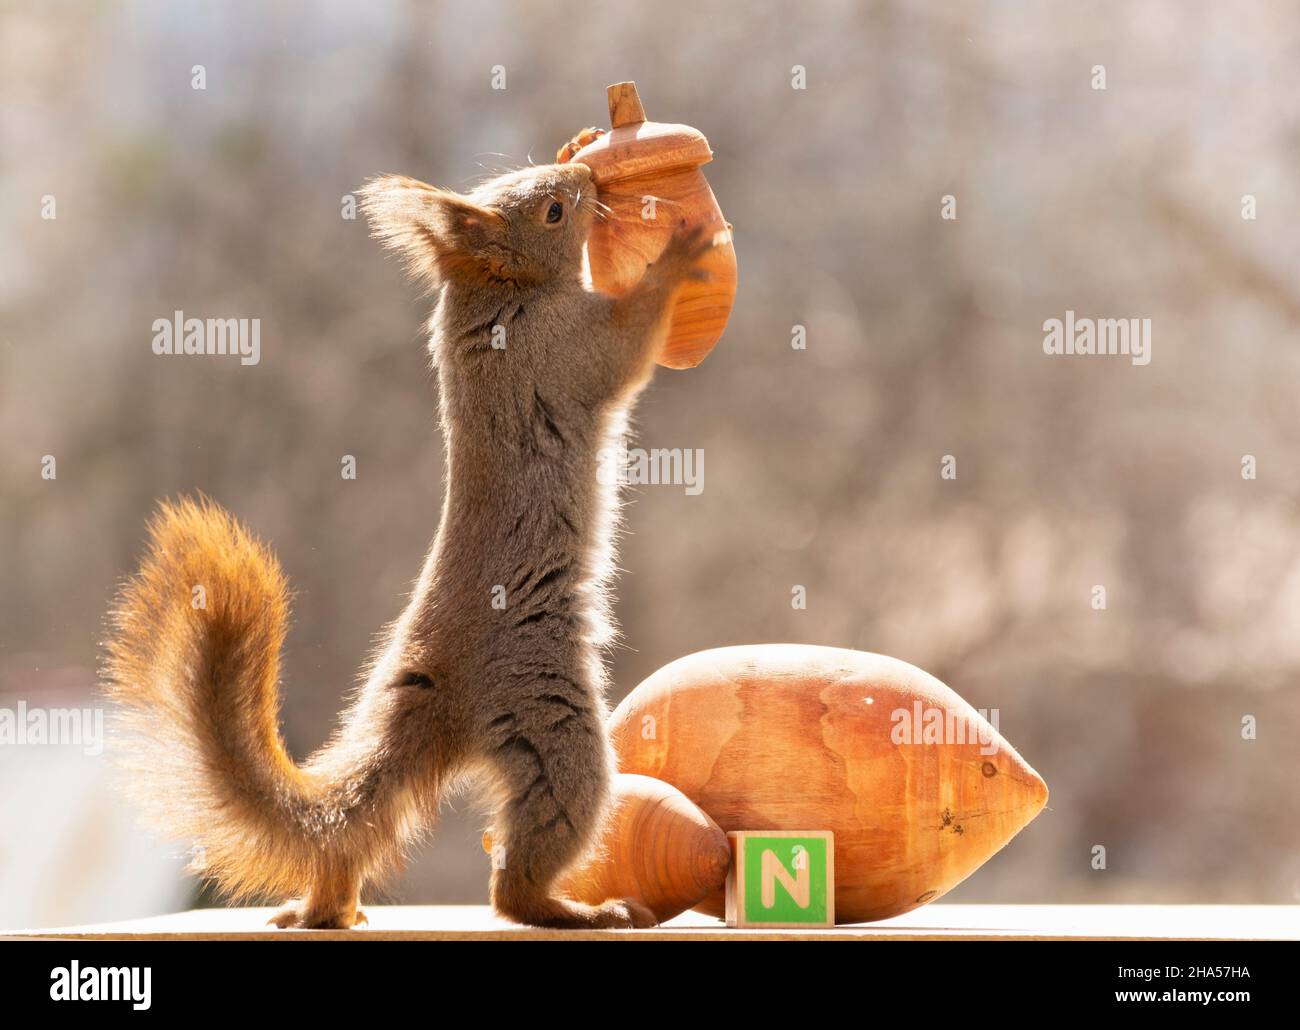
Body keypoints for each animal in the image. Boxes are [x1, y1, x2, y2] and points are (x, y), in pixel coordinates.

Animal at [103, 158, 718, 929]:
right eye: (551, 210)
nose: (581, 169)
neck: (499, 297)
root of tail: (438, 684)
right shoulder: (560, 350)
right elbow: (625, 345)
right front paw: (679, 255)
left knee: (353, 839)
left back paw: (322, 909)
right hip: (554, 724)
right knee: (515, 881)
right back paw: (578, 911)